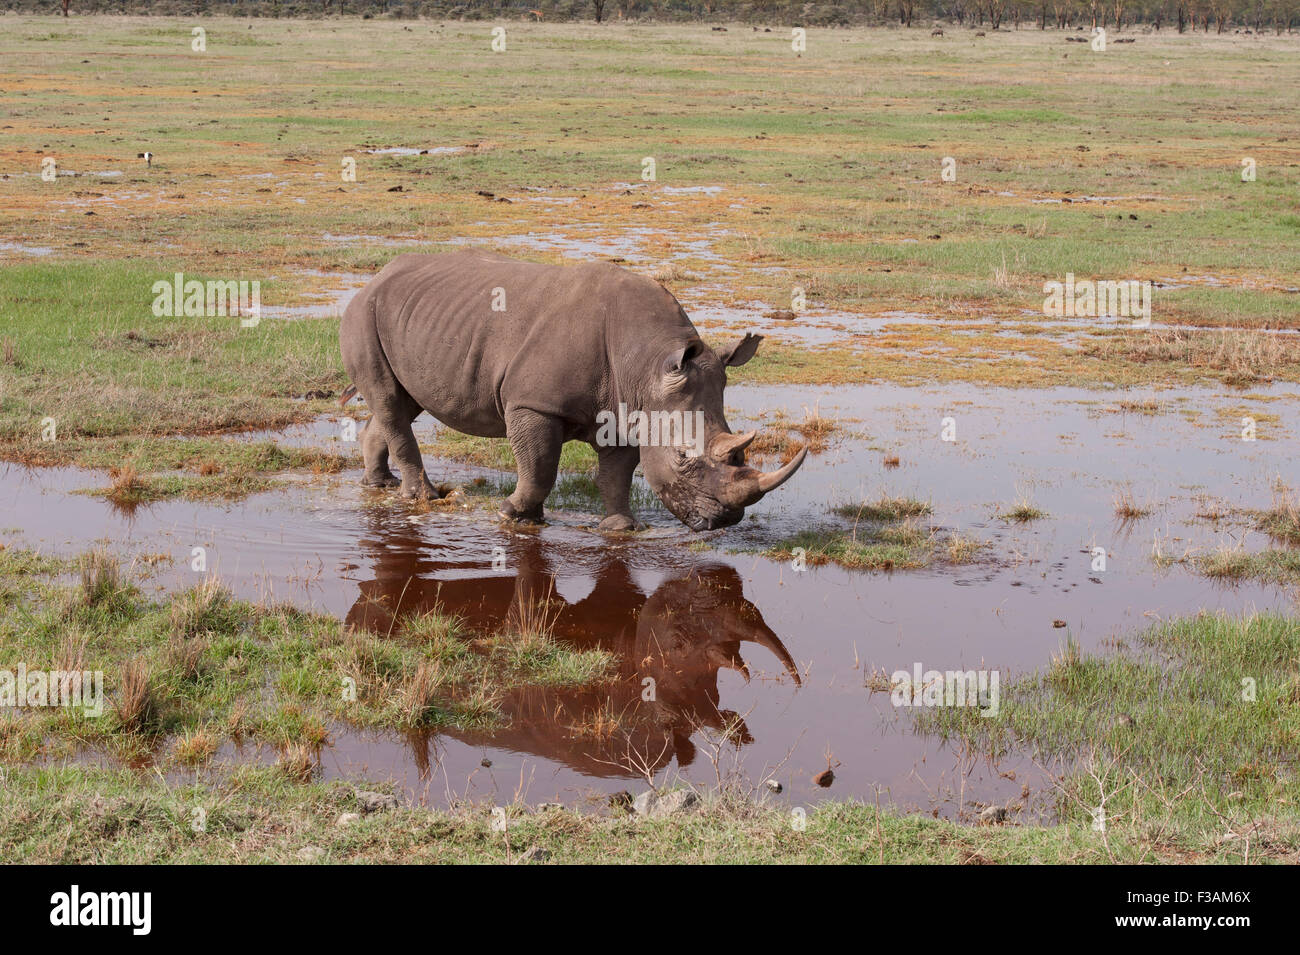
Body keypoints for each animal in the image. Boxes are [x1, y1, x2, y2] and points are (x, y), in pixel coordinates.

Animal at [339, 250, 807, 531]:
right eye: (683, 457)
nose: (724, 521)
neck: (648, 362)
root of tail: (374, 279)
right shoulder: (534, 404)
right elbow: (540, 466)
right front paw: (515, 515)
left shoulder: (628, 408)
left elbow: (616, 473)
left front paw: (621, 527)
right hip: (363, 313)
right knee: (391, 402)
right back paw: (423, 498)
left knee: (401, 404)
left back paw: (378, 485)